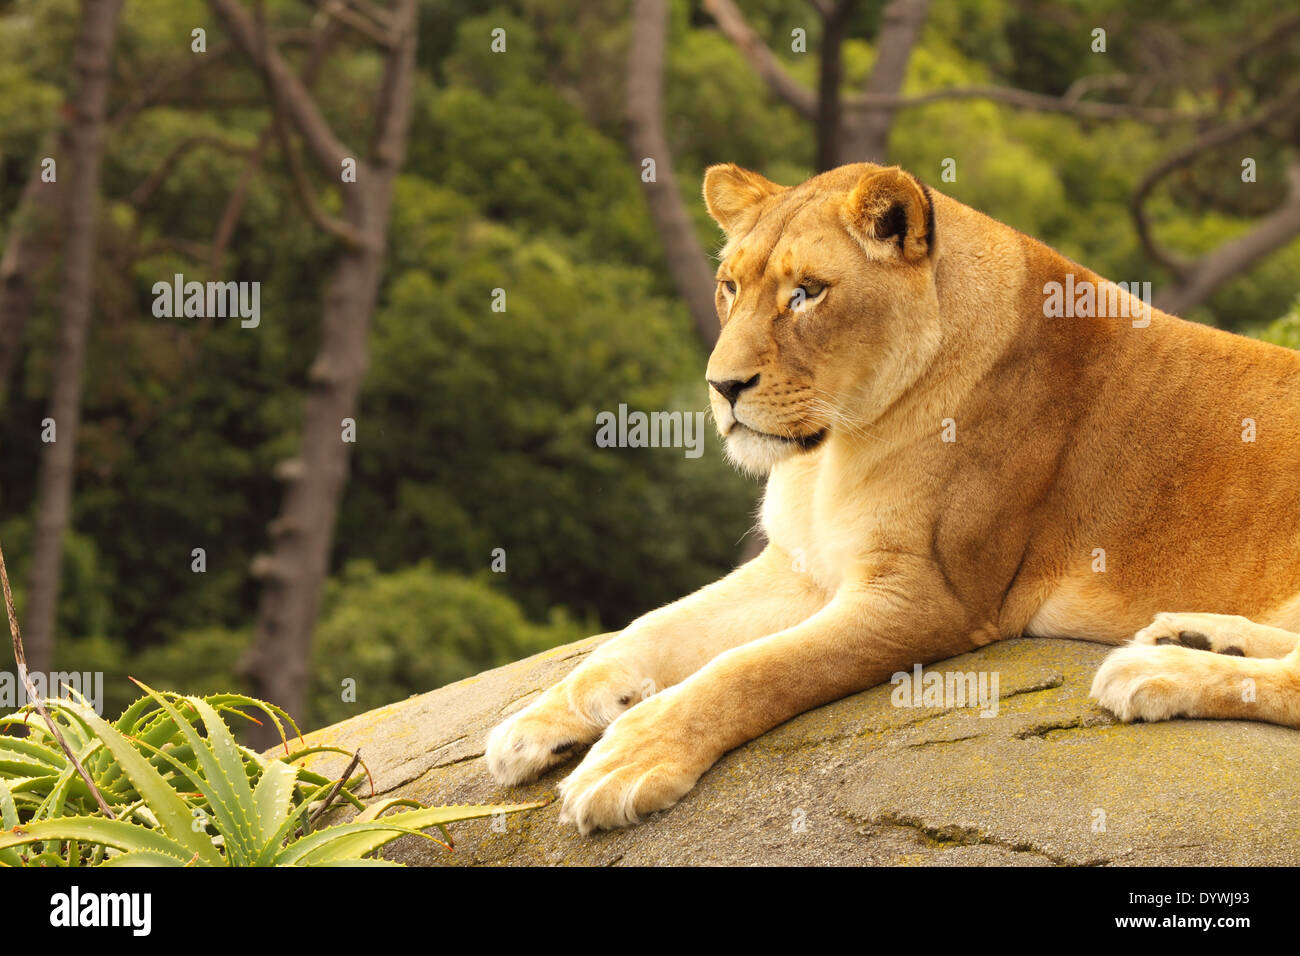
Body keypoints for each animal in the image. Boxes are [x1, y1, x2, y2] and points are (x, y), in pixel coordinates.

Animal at [485, 162, 1300, 834]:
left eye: (806, 294)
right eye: (730, 287)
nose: (722, 387)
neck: (829, 451)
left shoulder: (927, 597)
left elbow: (752, 669)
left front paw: (631, 759)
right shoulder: (799, 566)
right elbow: (646, 629)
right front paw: (537, 721)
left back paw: (1156, 672)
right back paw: (1196, 634)